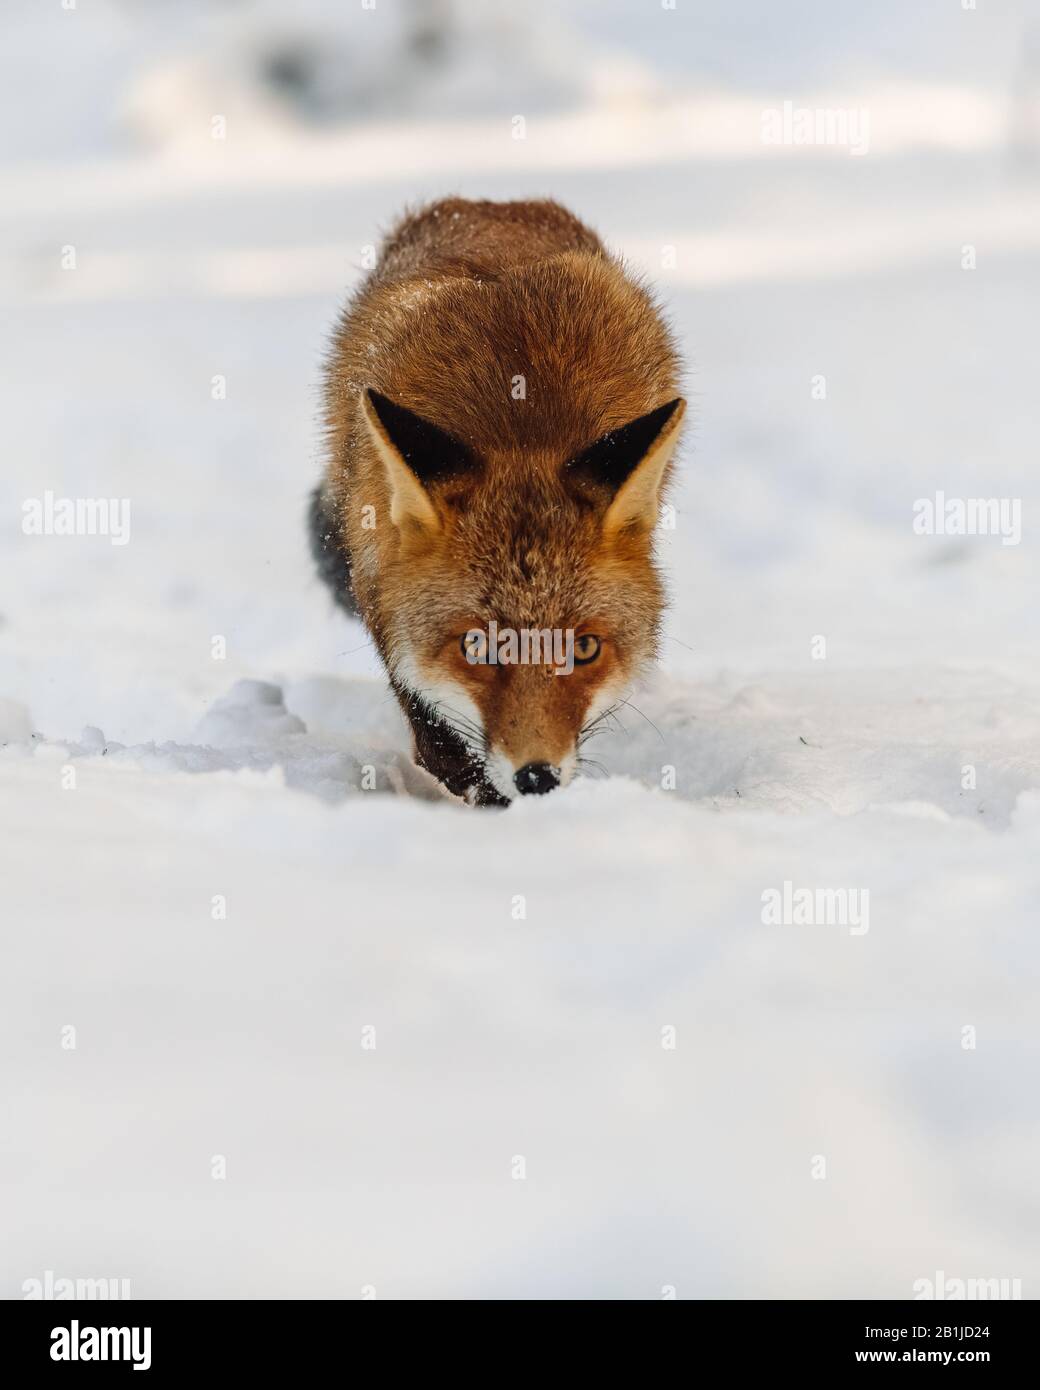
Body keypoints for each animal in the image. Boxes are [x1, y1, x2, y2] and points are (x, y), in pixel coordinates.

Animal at [311, 196, 685, 806]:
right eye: (476, 647)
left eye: (585, 649)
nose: (537, 778)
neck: (520, 426)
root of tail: (490, 204)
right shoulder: (377, 570)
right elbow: (435, 738)